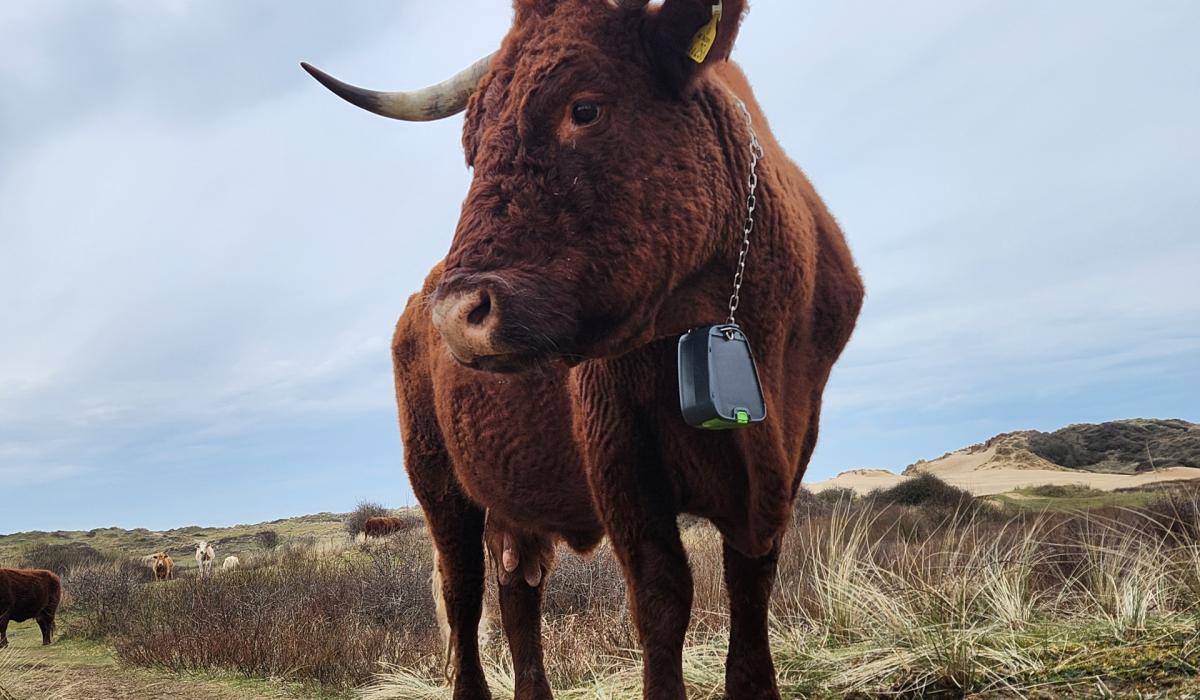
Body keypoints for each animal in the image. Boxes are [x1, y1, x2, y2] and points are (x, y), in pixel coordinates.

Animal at [302, 1, 864, 697]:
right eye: (470, 144)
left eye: (585, 108)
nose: (457, 316)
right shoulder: (621, 460)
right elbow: (662, 598)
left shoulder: (787, 460)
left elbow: (750, 597)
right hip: (436, 481)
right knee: (463, 595)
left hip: (511, 498)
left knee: (517, 594)